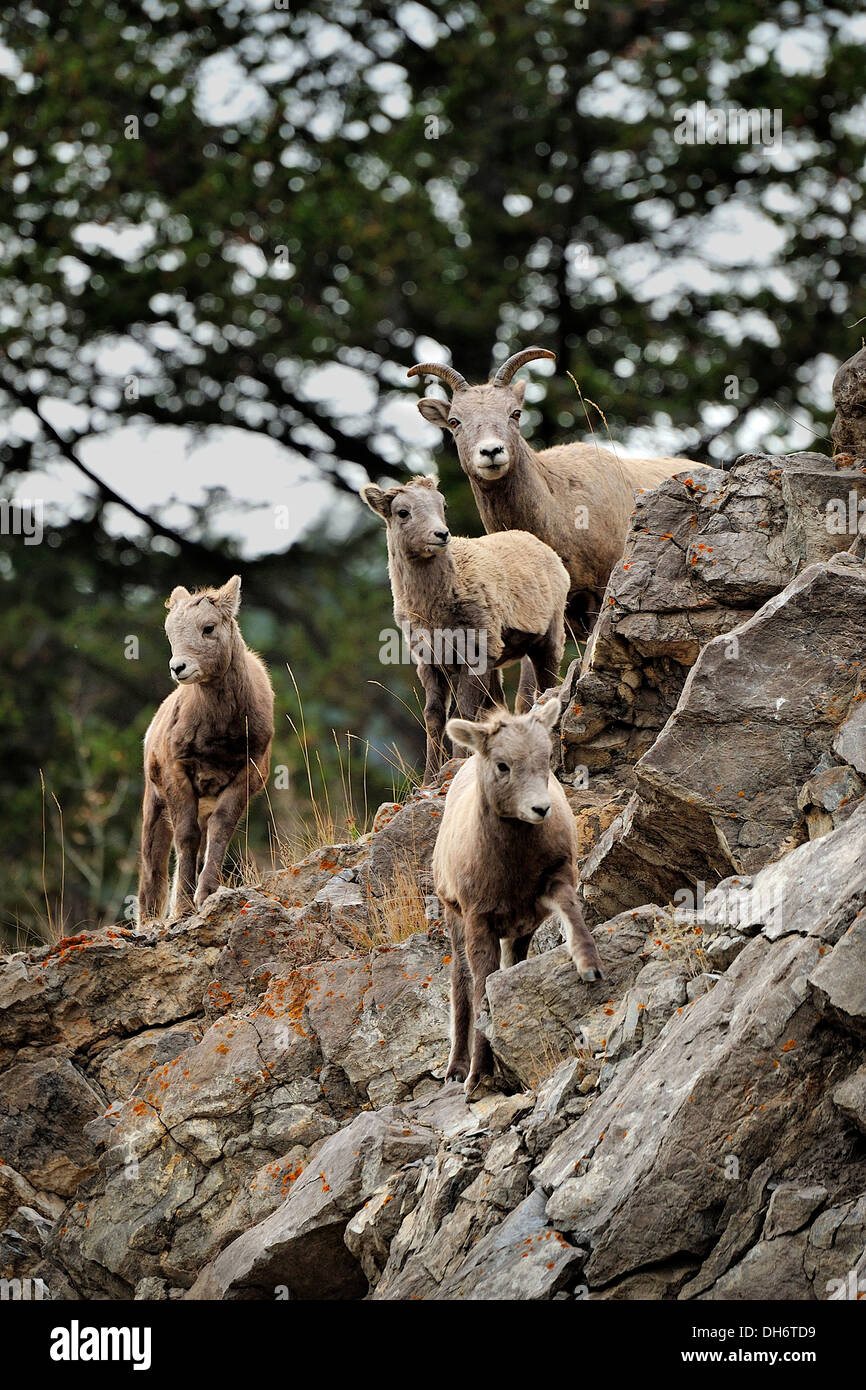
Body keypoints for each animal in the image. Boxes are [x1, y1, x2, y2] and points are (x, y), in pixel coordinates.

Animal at [137, 575, 274, 921]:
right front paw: (184, 907)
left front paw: (205, 894)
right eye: (170, 632)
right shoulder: (178, 774)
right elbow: (187, 837)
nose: (179, 667)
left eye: (208, 628)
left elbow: (219, 830)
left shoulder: (244, 776)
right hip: (154, 803)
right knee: (152, 866)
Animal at [361, 474, 570, 783]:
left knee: (545, 684)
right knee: (498, 705)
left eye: (443, 505)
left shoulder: (475, 654)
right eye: (403, 512)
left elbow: (464, 712)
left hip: (549, 636)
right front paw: (429, 779)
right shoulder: (430, 663)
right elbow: (434, 717)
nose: (441, 534)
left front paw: (456, 765)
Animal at [433, 700, 604, 1094]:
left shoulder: (550, 886)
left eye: (545, 758)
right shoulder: (478, 920)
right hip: (455, 918)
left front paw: (589, 968)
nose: (541, 809)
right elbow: (480, 986)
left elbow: (571, 912)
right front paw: (478, 1077)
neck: (512, 867)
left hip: (518, 931)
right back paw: (456, 1070)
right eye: (502, 765)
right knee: (461, 983)